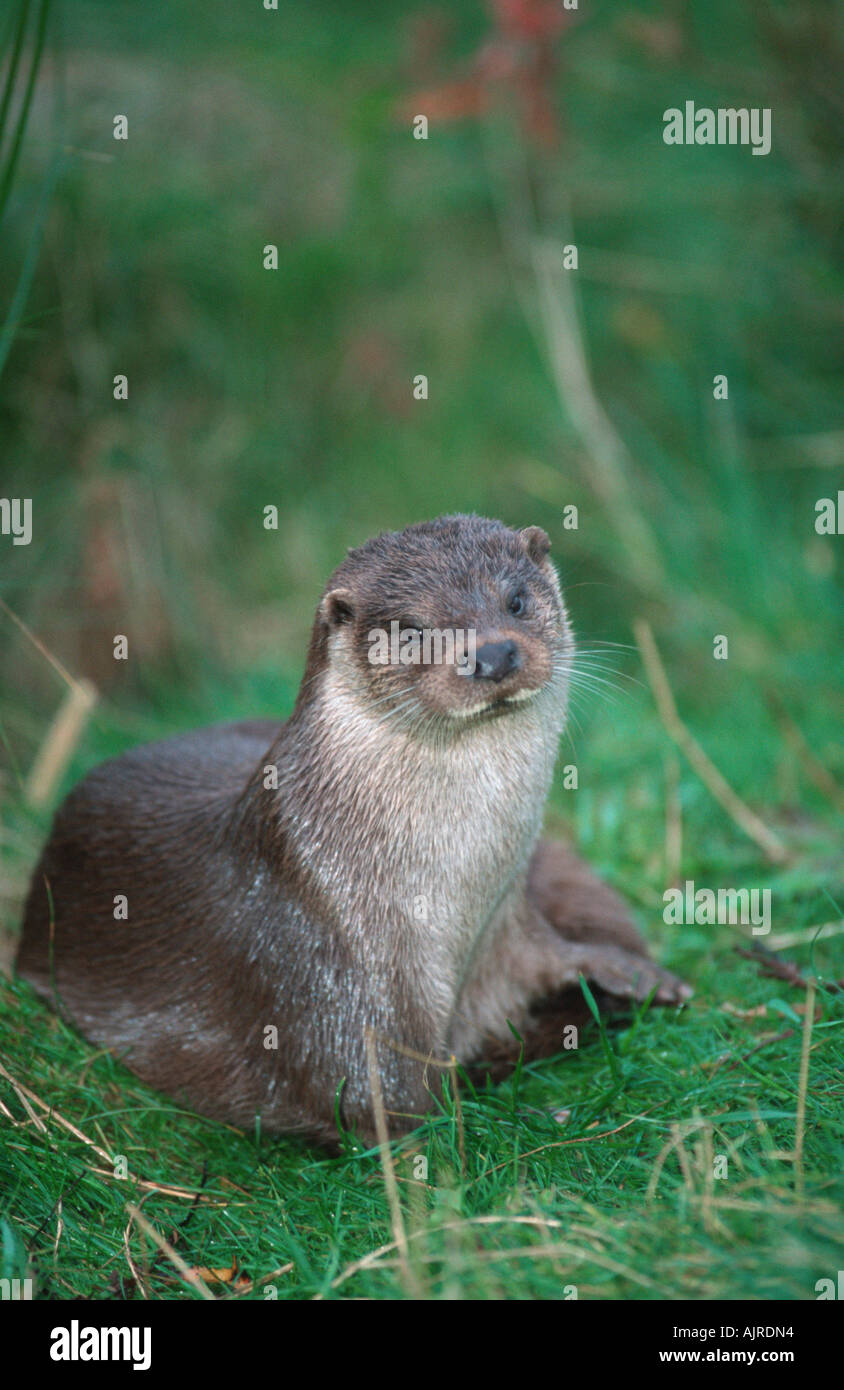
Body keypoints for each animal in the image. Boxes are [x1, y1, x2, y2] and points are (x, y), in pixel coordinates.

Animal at [17, 515, 688, 1145]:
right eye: (413, 630)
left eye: (516, 601)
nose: (493, 654)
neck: (451, 900)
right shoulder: (332, 975)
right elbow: (391, 1110)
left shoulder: (506, 926)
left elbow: (553, 954)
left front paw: (635, 974)